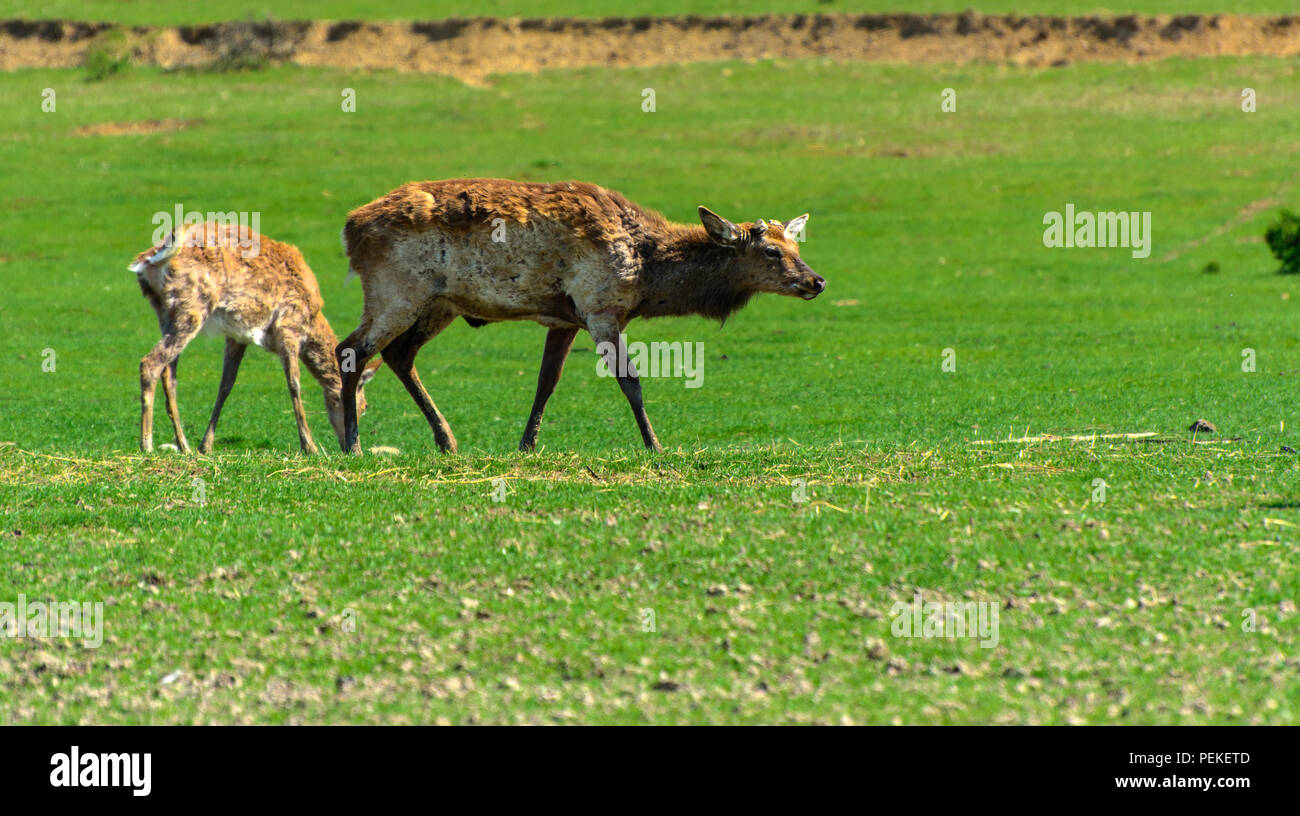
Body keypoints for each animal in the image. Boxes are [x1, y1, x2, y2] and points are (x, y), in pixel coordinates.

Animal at [131, 220, 380, 455]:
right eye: (364, 405)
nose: (349, 446)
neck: (312, 318)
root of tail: (150, 260)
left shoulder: (237, 337)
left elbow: (226, 385)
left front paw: (206, 445)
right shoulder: (288, 327)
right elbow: (294, 383)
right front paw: (310, 447)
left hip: (165, 313)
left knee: (169, 375)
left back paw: (184, 446)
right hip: (193, 307)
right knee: (150, 363)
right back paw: (147, 445)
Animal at [336, 179, 825, 454]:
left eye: (796, 245)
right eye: (770, 251)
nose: (817, 280)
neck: (647, 274)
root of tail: (349, 228)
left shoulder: (566, 318)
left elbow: (546, 383)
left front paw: (526, 445)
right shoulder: (599, 306)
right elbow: (631, 380)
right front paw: (656, 445)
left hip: (438, 303)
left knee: (398, 355)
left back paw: (447, 441)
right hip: (396, 291)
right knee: (351, 349)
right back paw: (353, 446)